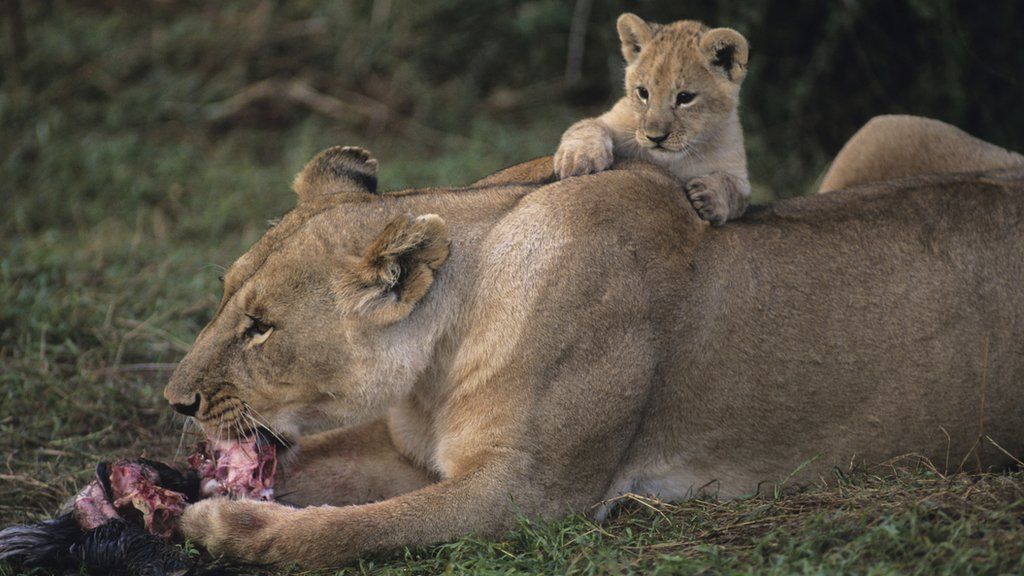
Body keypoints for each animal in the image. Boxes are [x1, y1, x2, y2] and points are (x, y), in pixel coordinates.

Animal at [164, 141, 1024, 568]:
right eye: (226, 297)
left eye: (261, 327)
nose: (176, 402)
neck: (436, 364)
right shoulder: (412, 450)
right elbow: (324, 468)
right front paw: (158, 485)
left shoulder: (533, 494)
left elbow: (358, 529)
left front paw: (223, 527)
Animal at [554, 13, 751, 225]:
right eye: (643, 92)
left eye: (685, 97)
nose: (655, 138)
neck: (671, 162)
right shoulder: (612, 119)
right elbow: (587, 126)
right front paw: (578, 159)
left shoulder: (738, 172)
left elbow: (736, 191)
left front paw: (708, 195)